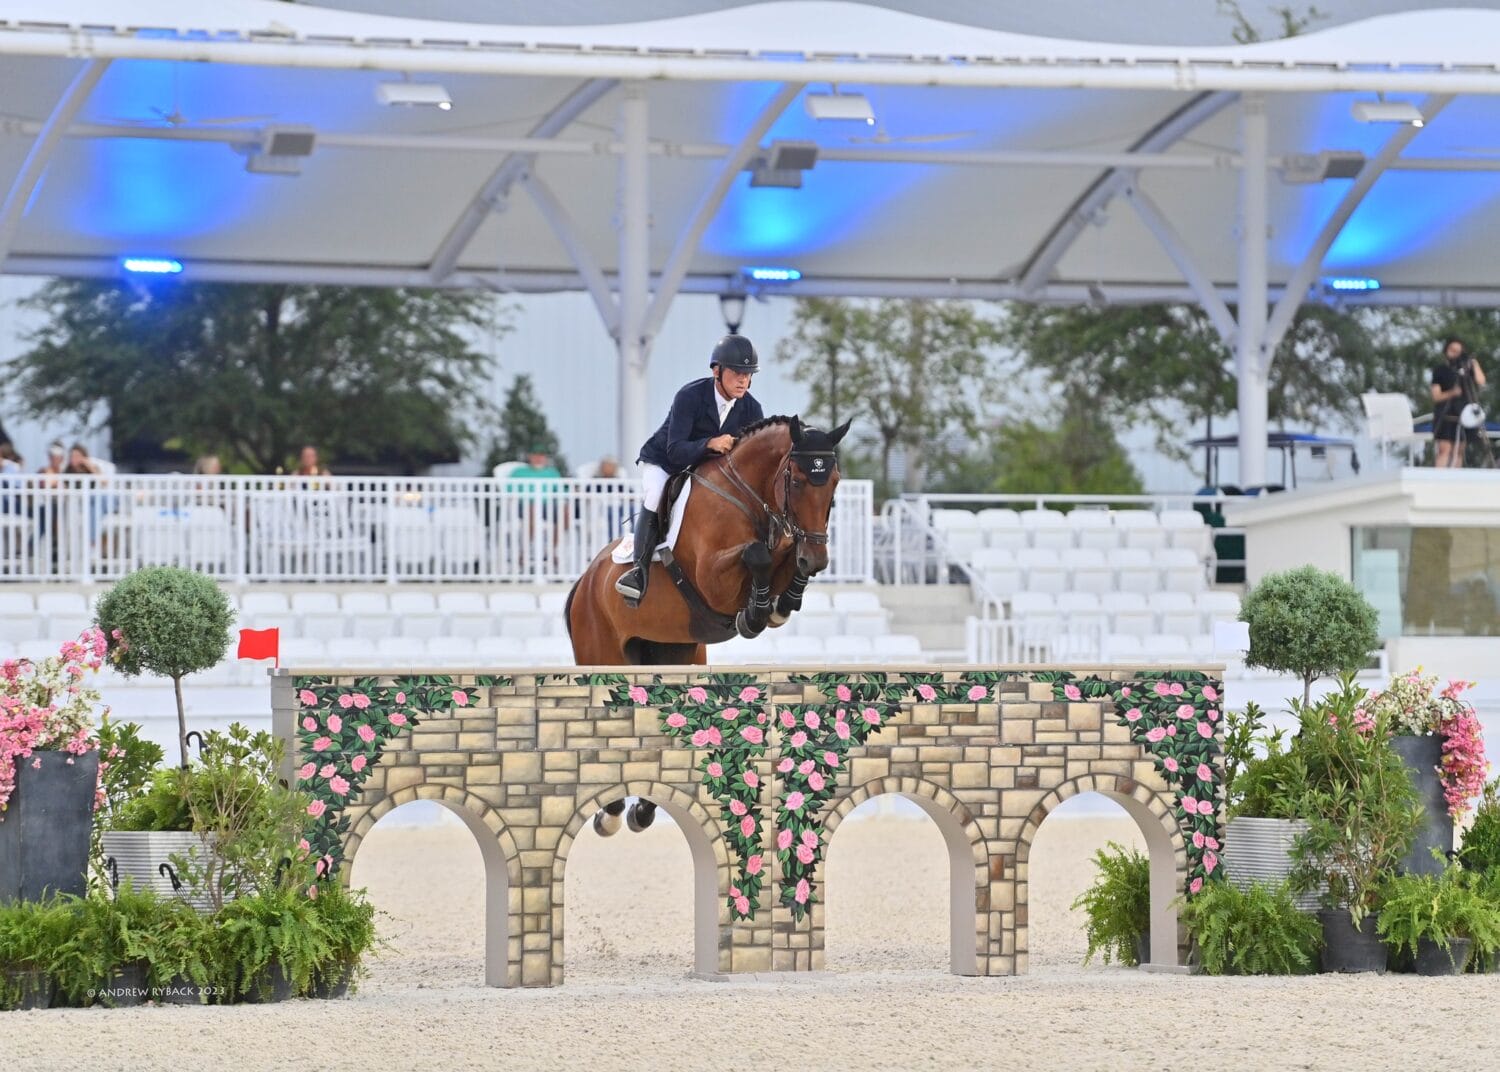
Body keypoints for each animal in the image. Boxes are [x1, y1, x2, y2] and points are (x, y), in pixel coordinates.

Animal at [564, 415, 851, 835]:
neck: (749, 494)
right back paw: (613, 813)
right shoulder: (713, 578)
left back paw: (642, 810)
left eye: (834, 482)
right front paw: (754, 614)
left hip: (675, 654)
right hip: (601, 655)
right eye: (797, 481)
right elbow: (758, 553)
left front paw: (780, 603)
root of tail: (583, 582)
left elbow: (782, 555)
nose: (817, 559)